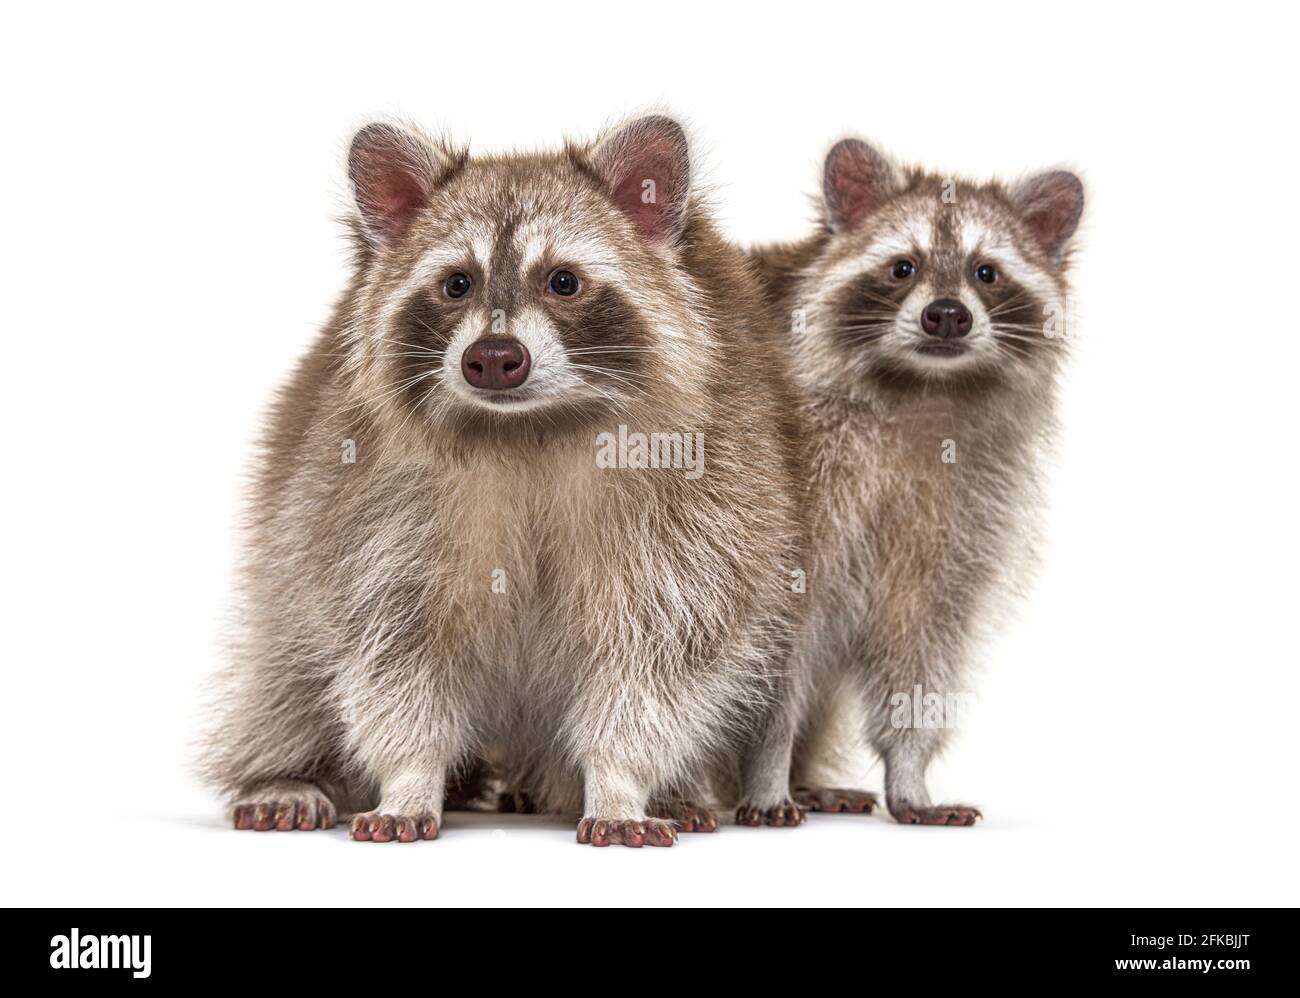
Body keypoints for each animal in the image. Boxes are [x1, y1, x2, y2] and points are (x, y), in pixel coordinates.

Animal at [202, 115, 808, 847]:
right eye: (457, 283)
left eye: (563, 282)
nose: (492, 358)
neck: (527, 425)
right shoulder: (371, 500)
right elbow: (393, 652)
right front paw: (410, 780)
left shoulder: (706, 496)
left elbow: (657, 658)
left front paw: (621, 784)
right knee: (281, 671)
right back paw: (284, 771)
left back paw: (680, 791)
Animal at [742, 139, 1083, 824]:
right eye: (903, 267)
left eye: (987, 273)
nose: (946, 316)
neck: (925, 390)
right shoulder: (791, 485)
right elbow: (770, 654)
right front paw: (767, 768)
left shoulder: (969, 502)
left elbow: (922, 642)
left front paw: (909, 771)